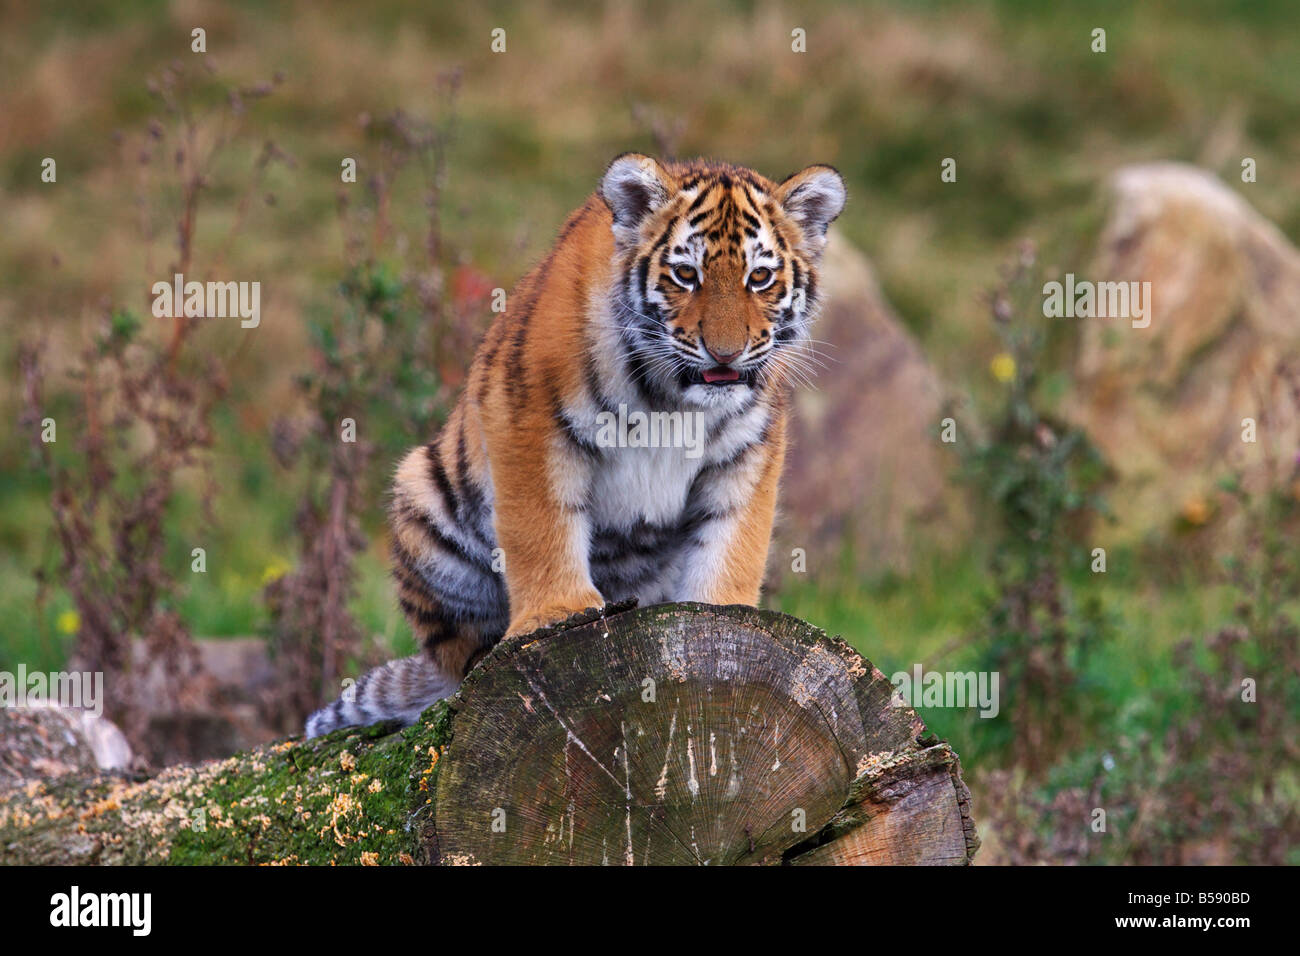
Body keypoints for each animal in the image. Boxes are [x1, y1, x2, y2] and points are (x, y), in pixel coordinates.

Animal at [305, 154, 846, 737]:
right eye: (686, 275)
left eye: (759, 278)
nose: (724, 355)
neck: (676, 400)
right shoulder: (527, 416)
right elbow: (540, 528)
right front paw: (558, 613)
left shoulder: (748, 450)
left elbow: (734, 543)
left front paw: (722, 614)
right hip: (421, 495)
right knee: (454, 654)